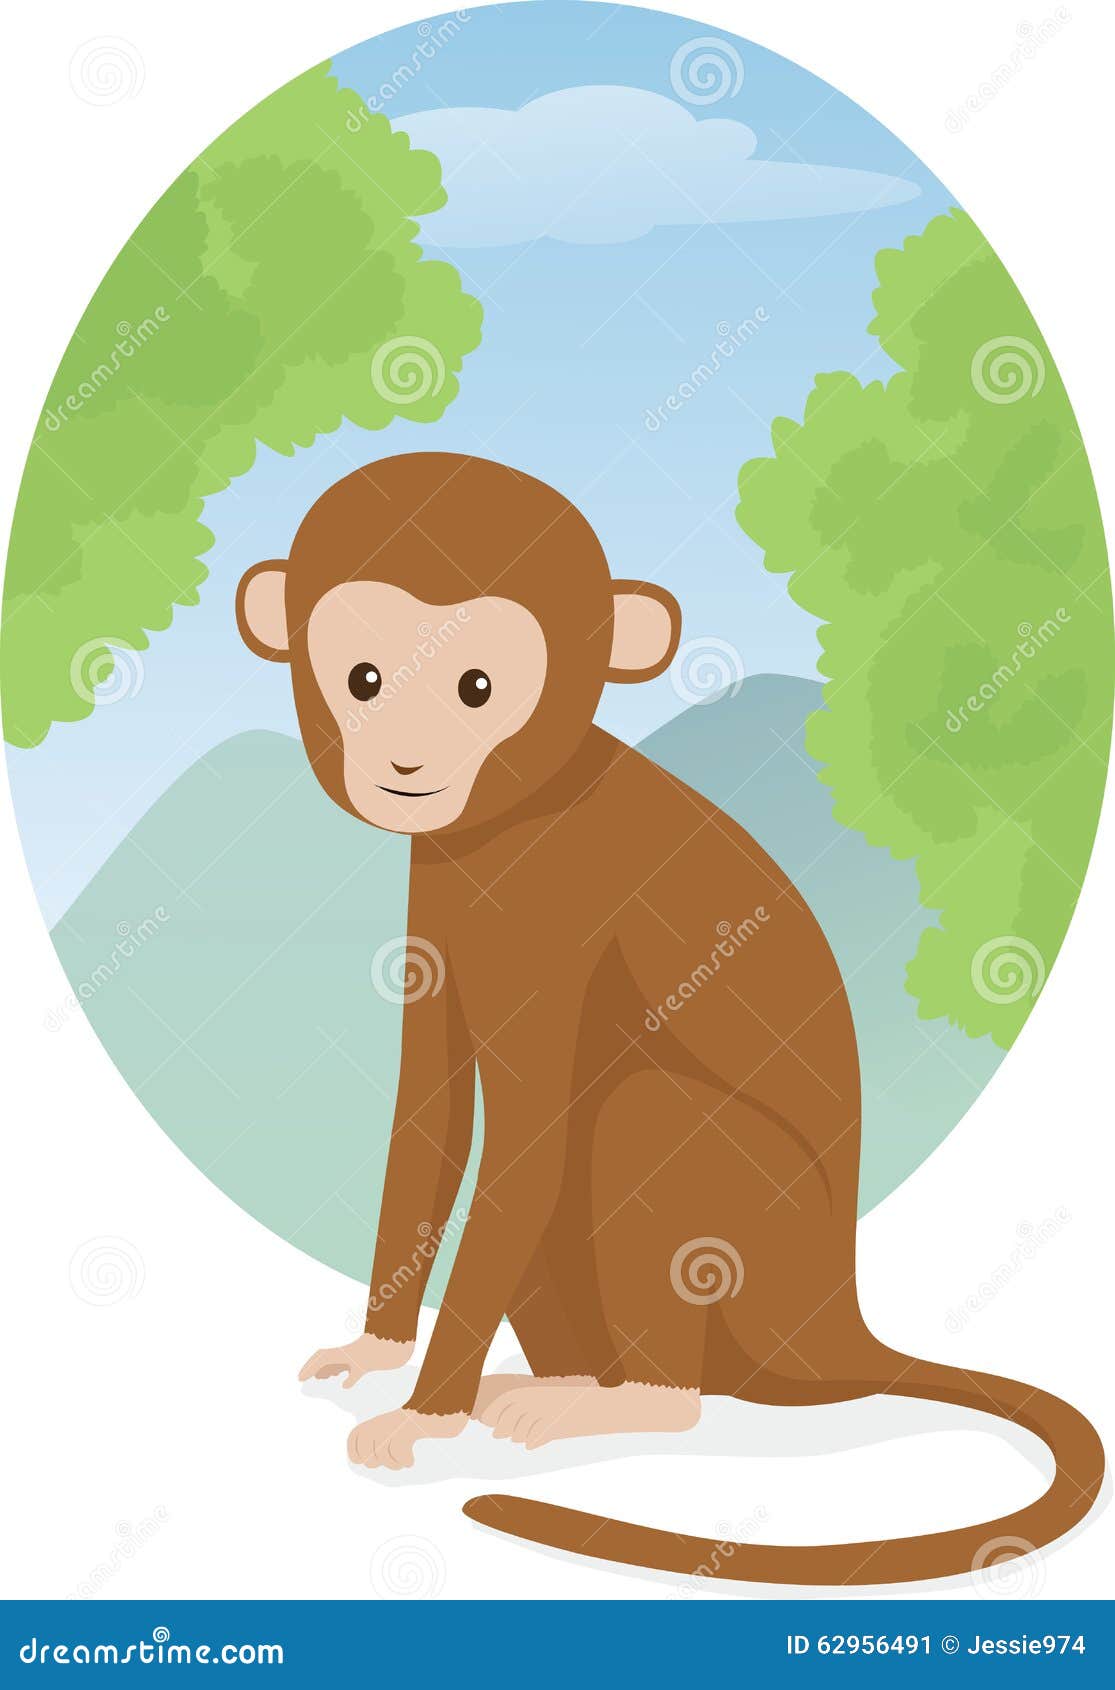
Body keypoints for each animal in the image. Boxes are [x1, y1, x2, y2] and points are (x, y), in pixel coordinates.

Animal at [237, 451, 1103, 1585]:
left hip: (767, 1279)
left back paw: (637, 1403)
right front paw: (378, 1349)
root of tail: (839, 1324)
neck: (515, 814)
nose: (409, 762)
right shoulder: (437, 882)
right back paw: (565, 1386)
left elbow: (527, 1136)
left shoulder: (562, 898)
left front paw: (426, 1411)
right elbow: (433, 1112)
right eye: (365, 680)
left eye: (477, 689)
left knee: (640, 1120)